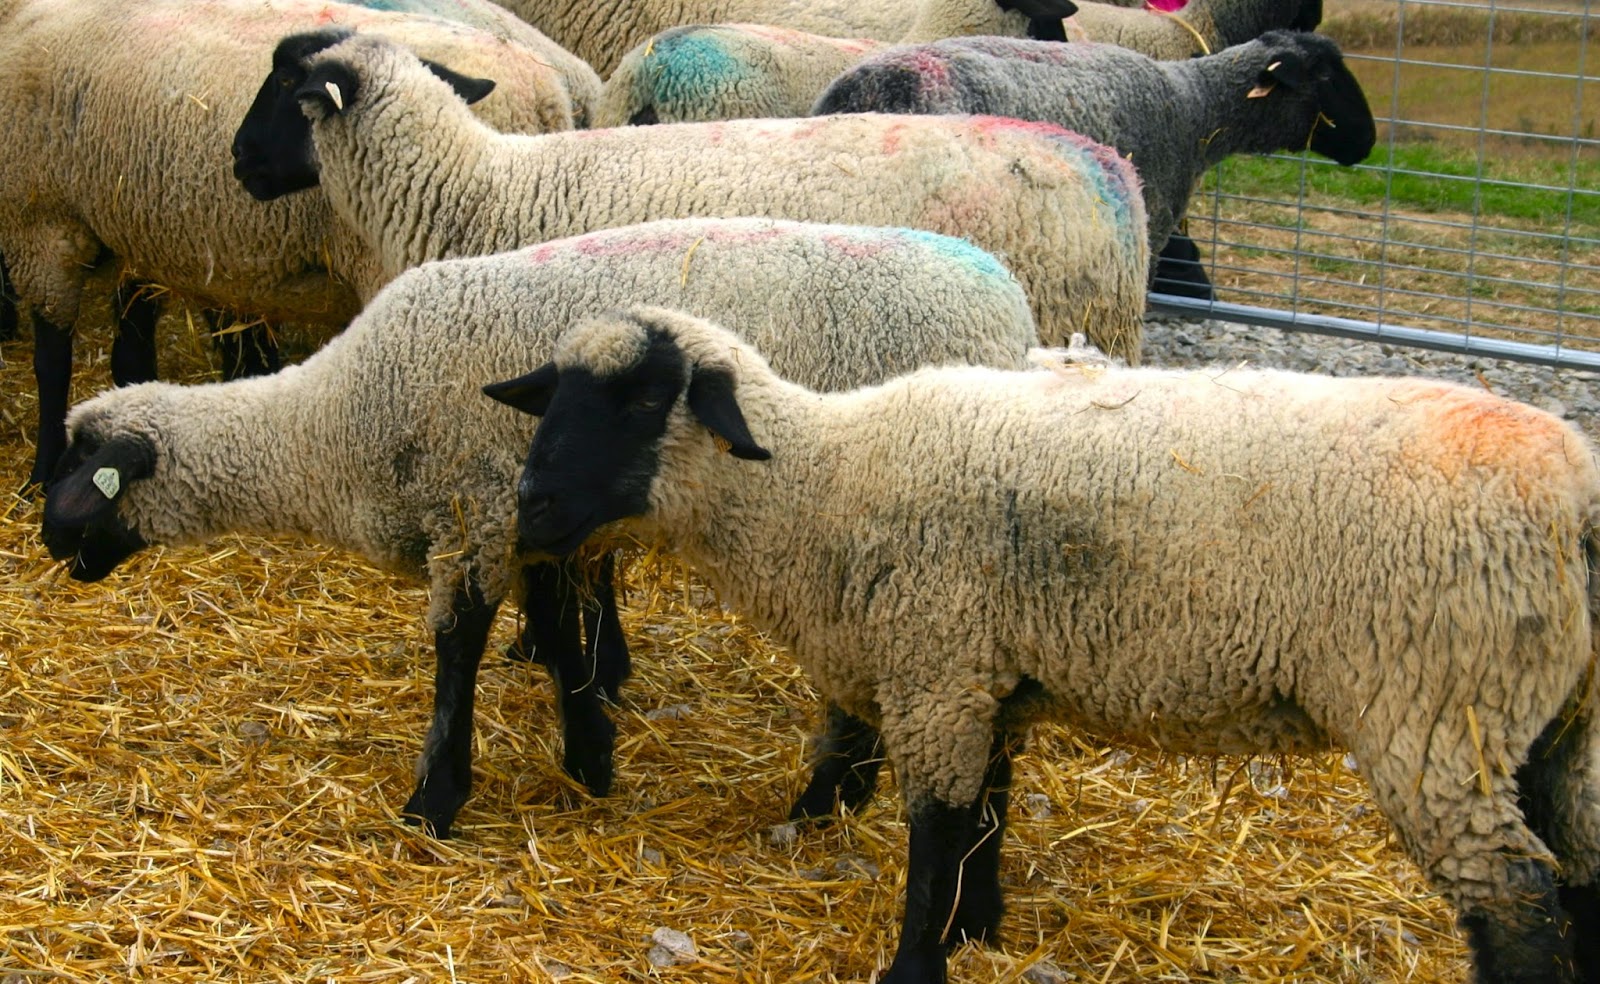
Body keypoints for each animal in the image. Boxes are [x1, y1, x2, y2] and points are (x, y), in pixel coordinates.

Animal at [39, 216, 1042, 840]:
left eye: (87, 471)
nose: (49, 541)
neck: (337, 422)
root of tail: (1008, 300)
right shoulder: (535, 525)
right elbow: (563, 639)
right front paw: (590, 756)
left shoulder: (474, 513)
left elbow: (459, 646)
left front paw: (436, 800)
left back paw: (839, 795)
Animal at [491, 304, 1600, 984]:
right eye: (551, 401)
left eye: (642, 400)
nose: (529, 504)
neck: (824, 488)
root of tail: (1576, 495)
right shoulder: (989, 676)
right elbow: (988, 813)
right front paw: (980, 929)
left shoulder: (936, 668)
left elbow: (936, 833)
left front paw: (917, 962)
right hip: (1558, 727)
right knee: (1579, 873)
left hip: (1438, 714)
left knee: (1517, 906)